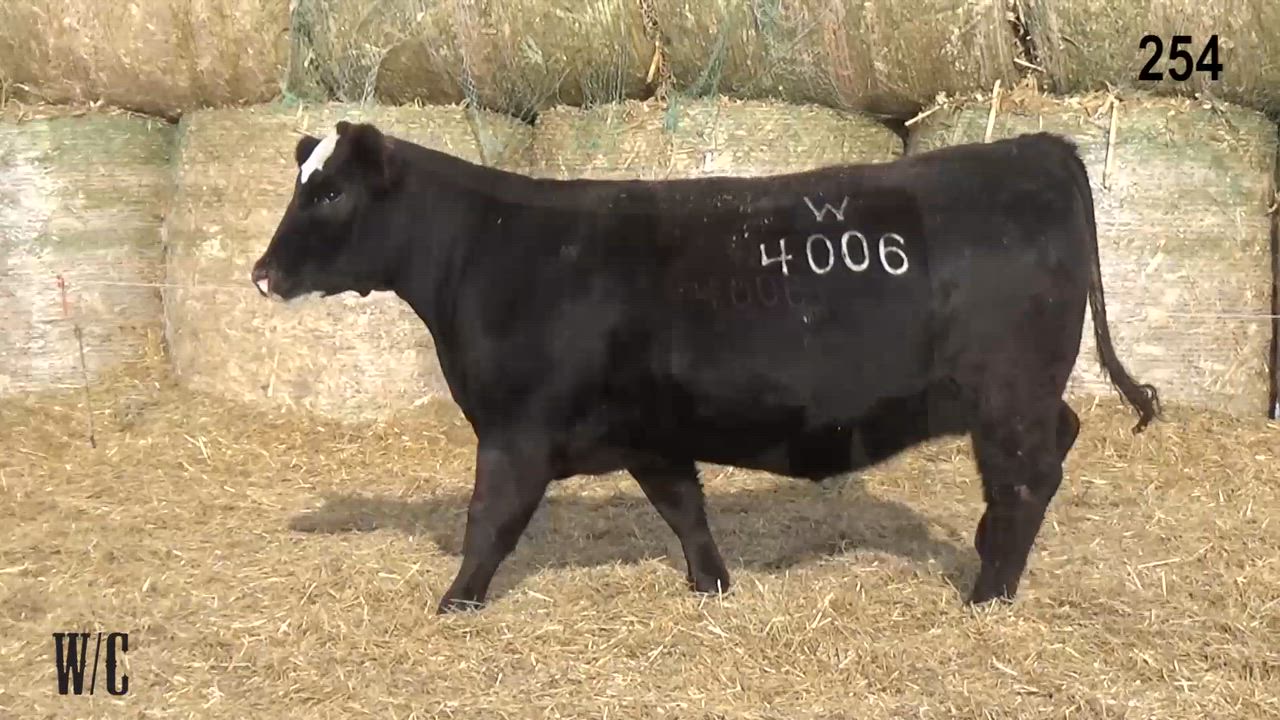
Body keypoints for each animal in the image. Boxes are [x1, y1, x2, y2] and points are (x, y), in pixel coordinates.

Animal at [251, 121, 1159, 614]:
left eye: (329, 192)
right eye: (302, 182)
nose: (261, 273)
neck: (492, 251)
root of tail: (1032, 148)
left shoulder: (515, 432)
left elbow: (490, 524)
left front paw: (454, 604)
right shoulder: (649, 432)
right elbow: (685, 510)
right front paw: (712, 585)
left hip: (1007, 395)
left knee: (1025, 480)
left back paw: (987, 592)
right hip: (1022, 394)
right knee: (1057, 444)